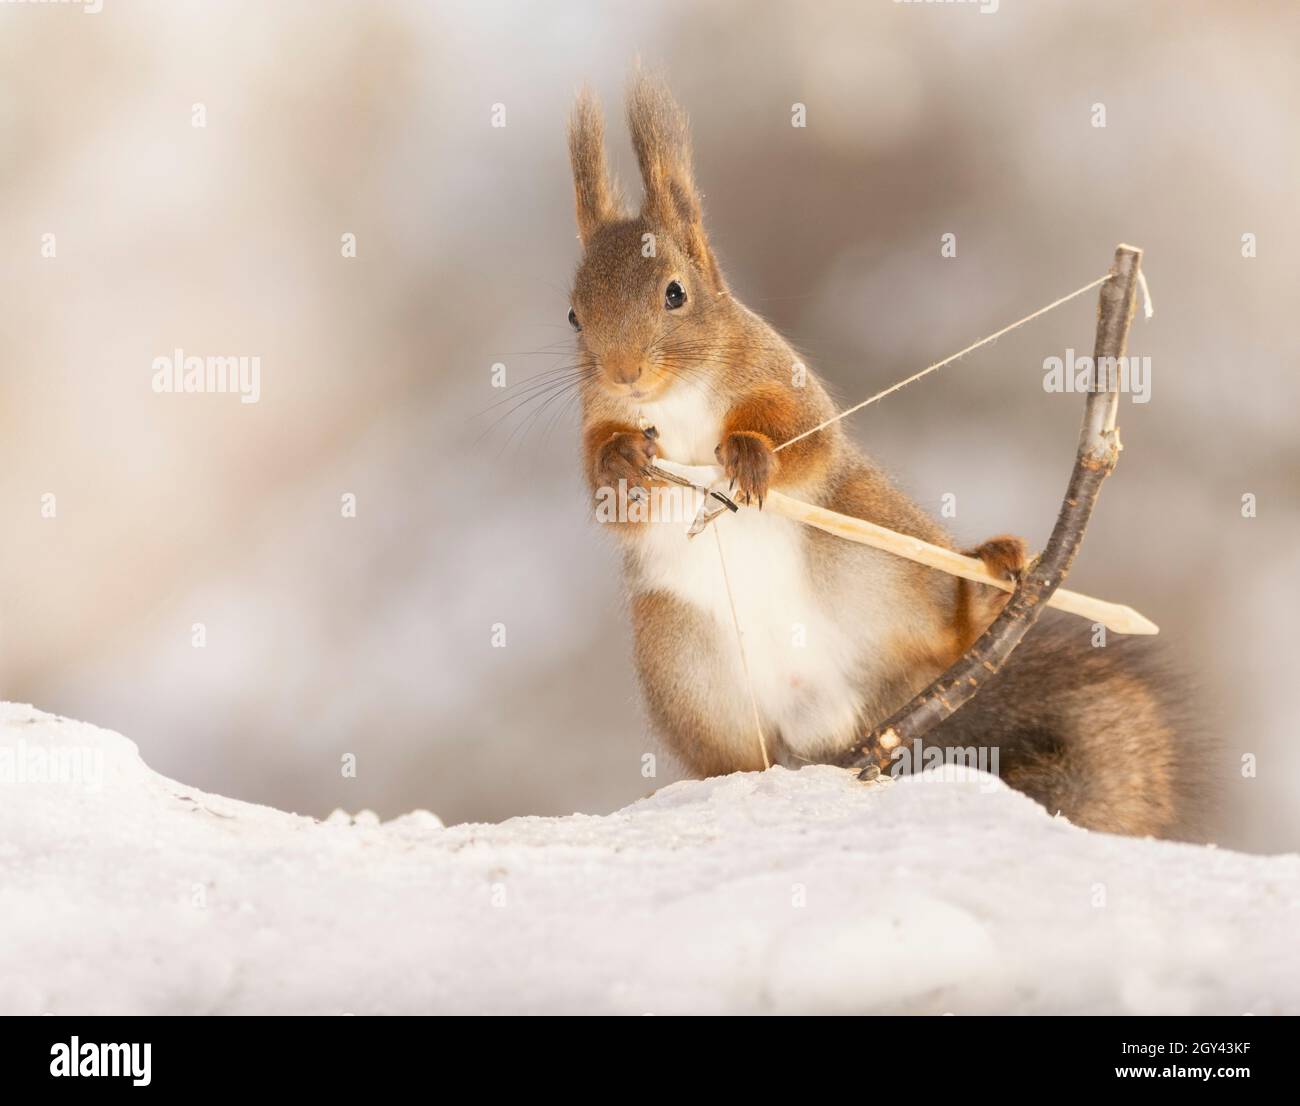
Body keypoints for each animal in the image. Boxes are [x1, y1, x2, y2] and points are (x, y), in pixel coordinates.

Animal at [565, 74, 1208, 840]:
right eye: (573, 315)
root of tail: (837, 728)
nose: (624, 373)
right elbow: (612, 504)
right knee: (735, 760)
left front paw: (749, 455)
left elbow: (807, 441)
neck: (676, 401)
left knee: (946, 636)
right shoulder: (596, 421)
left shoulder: (783, 382)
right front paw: (621, 461)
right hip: (687, 666)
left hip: (884, 564)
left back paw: (990, 583)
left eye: (675, 293)